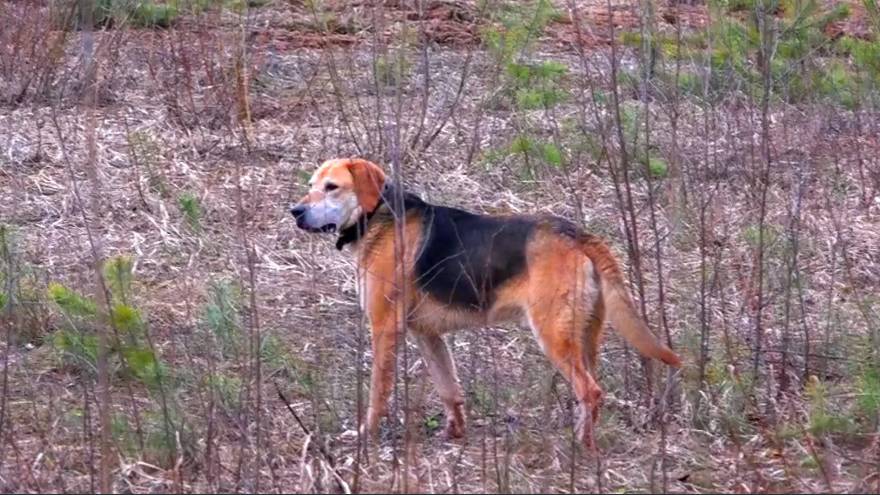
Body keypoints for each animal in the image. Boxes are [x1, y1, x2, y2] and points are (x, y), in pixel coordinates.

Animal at [288, 159, 680, 450]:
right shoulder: (427, 335)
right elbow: (450, 390)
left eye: (332, 187)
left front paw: (365, 436)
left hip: (553, 336)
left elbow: (377, 393)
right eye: (312, 184)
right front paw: (454, 433)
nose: (295, 211)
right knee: (591, 393)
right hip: (585, 338)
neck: (376, 216)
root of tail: (575, 233)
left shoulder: (384, 329)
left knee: (591, 391)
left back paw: (580, 448)